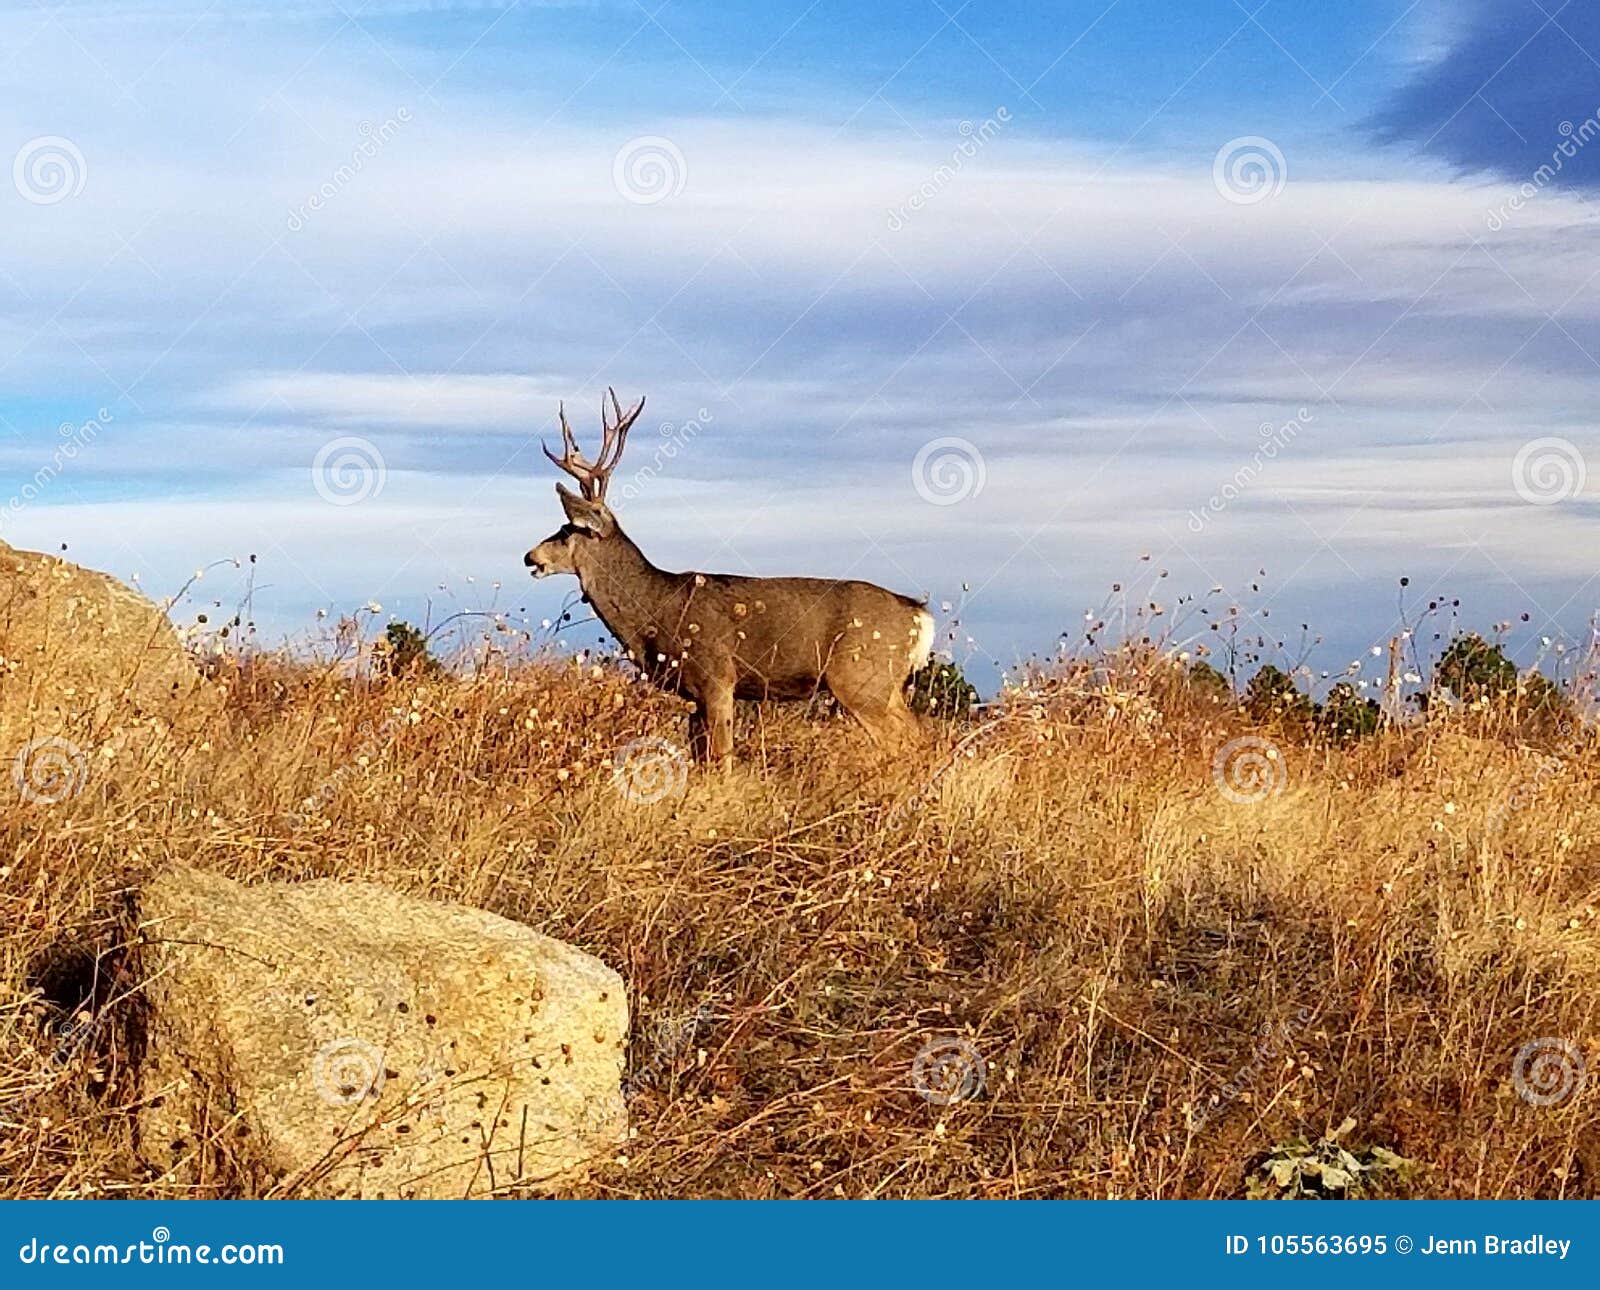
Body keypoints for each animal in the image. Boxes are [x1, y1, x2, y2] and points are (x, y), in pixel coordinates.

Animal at [524, 390, 935, 765]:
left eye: (567, 529)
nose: (531, 556)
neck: (655, 609)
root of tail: (917, 614)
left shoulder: (717, 677)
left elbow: (722, 758)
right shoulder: (693, 695)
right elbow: (700, 759)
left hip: (861, 678)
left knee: (907, 742)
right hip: (886, 686)